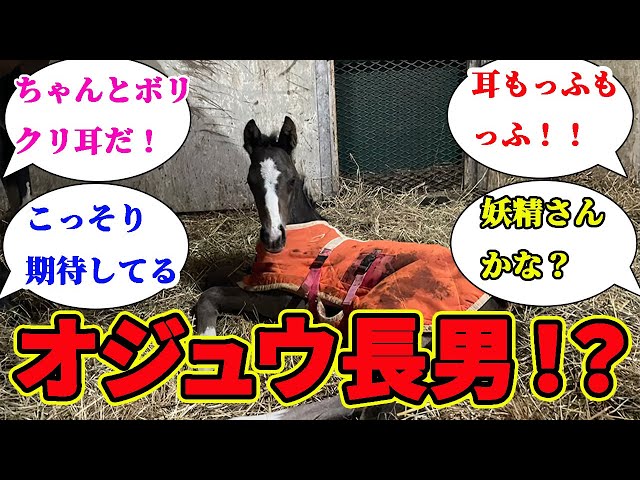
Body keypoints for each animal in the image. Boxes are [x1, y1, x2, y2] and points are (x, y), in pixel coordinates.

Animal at [194, 116, 509, 420]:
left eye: (292, 180)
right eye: (251, 182)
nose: (273, 238)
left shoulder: (285, 300)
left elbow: (212, 293)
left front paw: (206, 345)